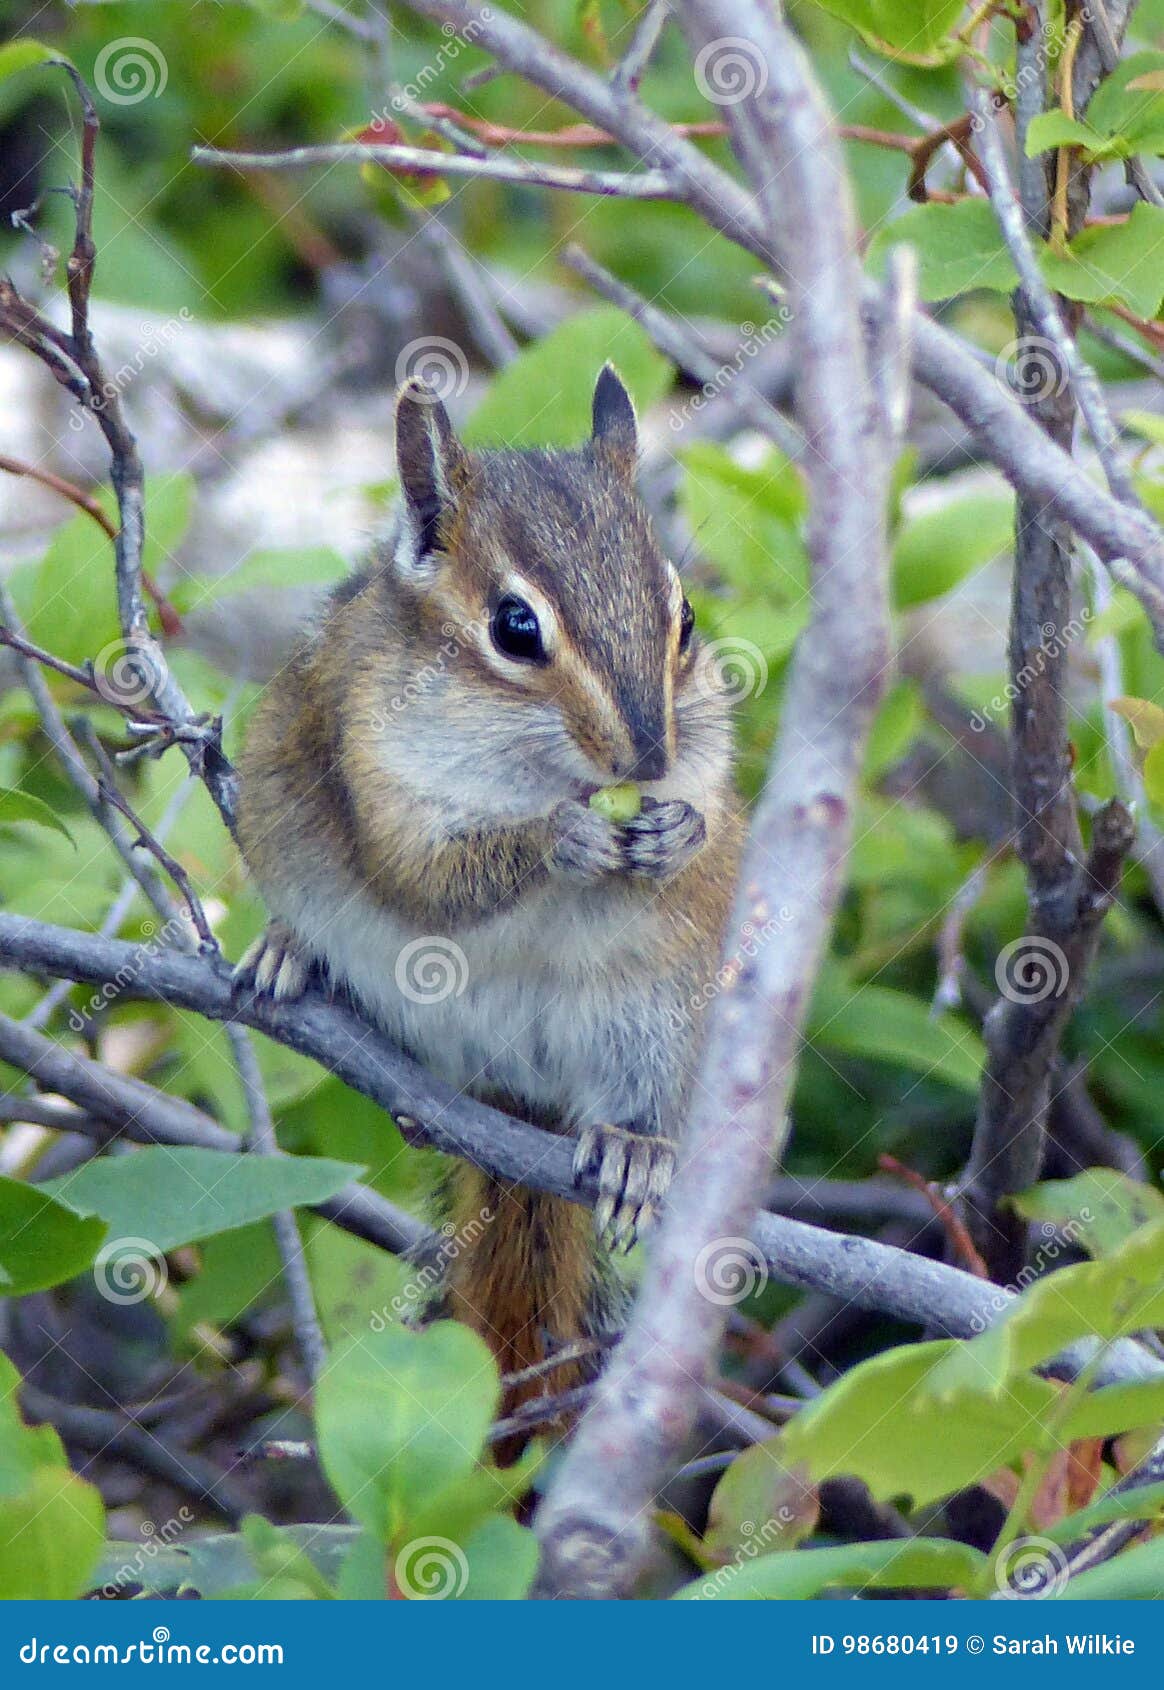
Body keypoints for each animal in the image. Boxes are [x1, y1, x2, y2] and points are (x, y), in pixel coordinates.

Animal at [235, 365, 742, 1454]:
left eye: (683, 620)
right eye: (516, 629)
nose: (648, 759)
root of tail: (516, 1090)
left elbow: (712, 820)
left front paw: (675, 832)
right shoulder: (377, 768)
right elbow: (429, 875)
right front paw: (566, 840)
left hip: (660, 1017)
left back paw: (636, 1150)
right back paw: (289, 954)